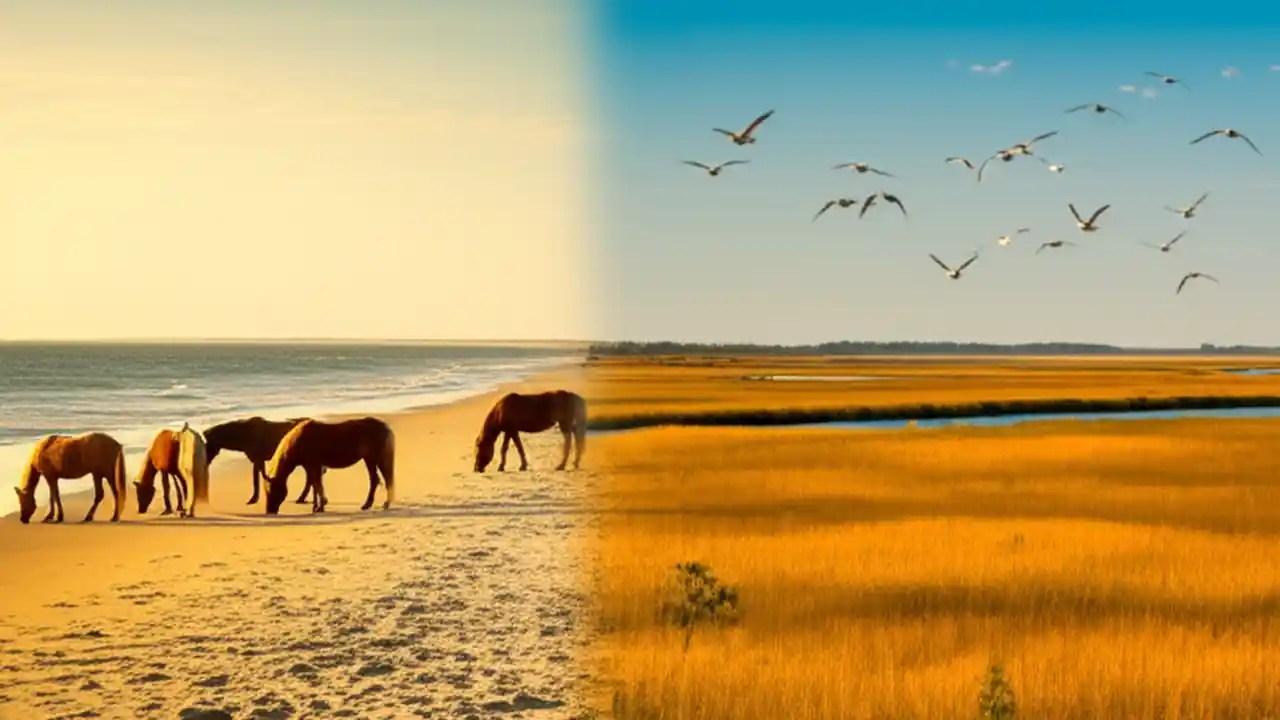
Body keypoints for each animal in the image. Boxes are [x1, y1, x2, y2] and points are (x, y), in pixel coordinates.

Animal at [262, 417, 395, 515]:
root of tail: (386, 427)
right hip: (370, 460)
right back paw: (368, 505)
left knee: (384, 479)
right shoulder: (312, 466)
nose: (269, 511)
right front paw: (316, 507)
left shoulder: (313, 465)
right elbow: (315, 485)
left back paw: (385, 504)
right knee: (375, 480)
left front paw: (320, 507)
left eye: (271, 491)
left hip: (376, 459)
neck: (298, 441)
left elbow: (318, 485)